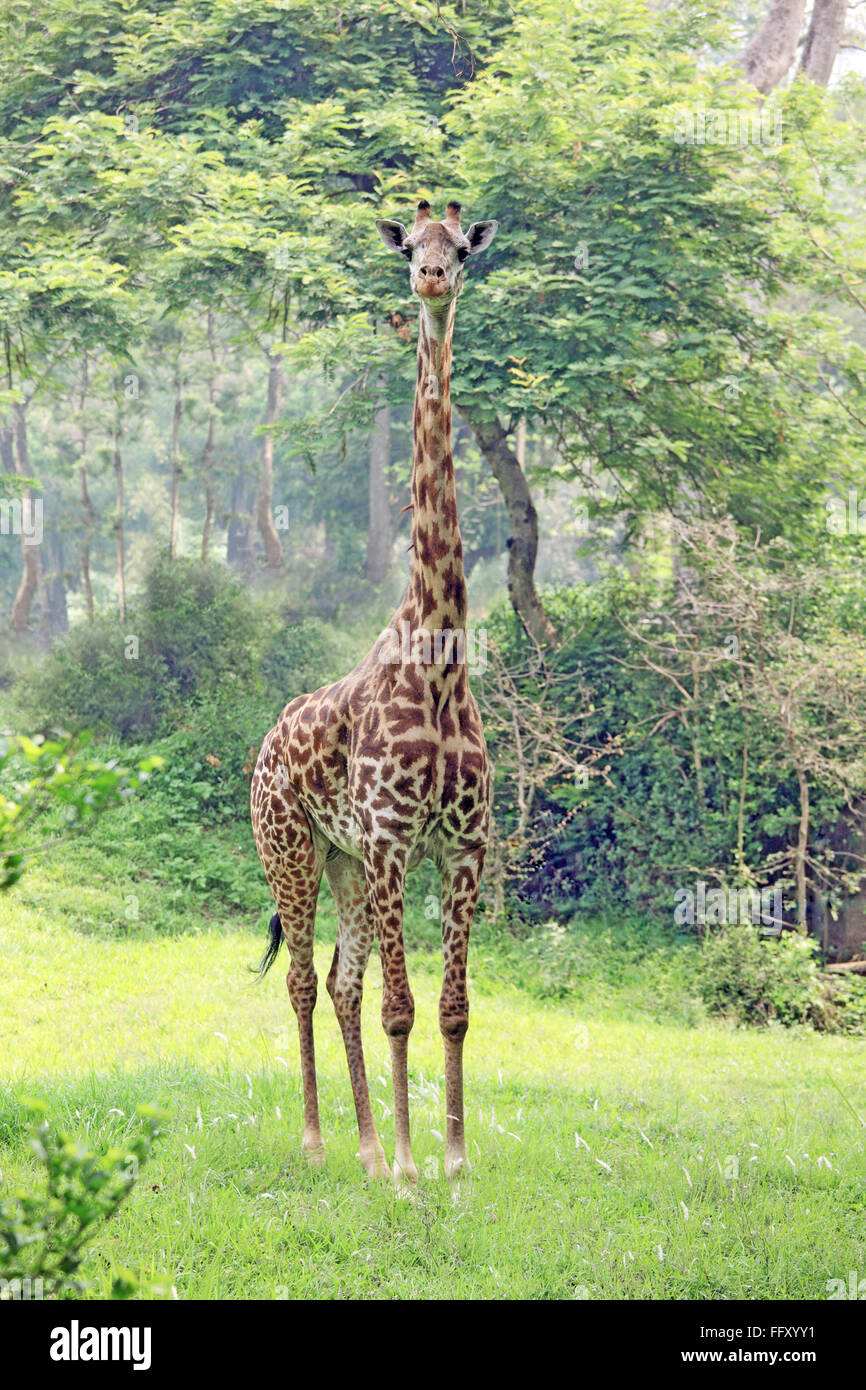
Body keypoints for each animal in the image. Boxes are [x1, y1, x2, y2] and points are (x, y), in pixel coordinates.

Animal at [250, 199, 498, 1185]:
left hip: (344, 862)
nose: (431, 281)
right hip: (291, 849)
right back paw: (324, 1140)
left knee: (343, 982)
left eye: (461, 249)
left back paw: (357, 1142)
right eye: (411, 251)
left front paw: (454, 1163)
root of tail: (263, 747)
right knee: (304, 979)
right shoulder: (395, 843)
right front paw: (407, 1166)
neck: (438, 661)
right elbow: (403, 1007)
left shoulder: (463, 847)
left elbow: (452, 1009)